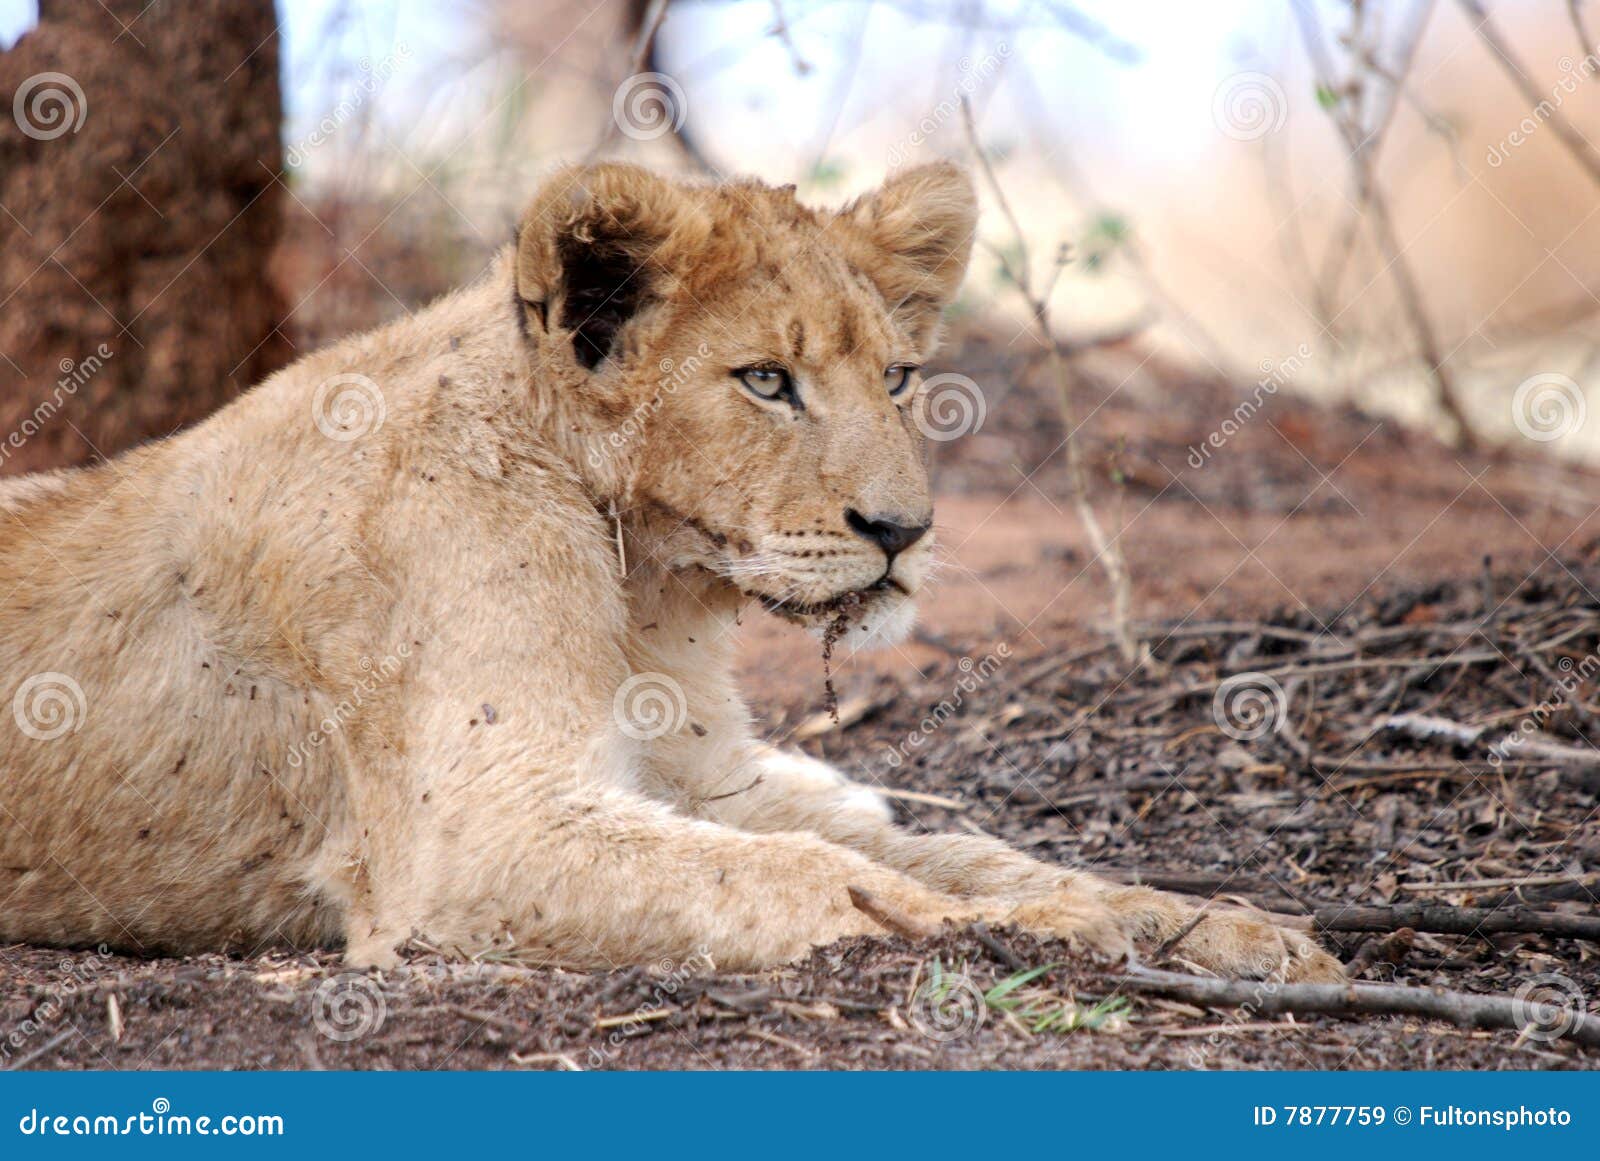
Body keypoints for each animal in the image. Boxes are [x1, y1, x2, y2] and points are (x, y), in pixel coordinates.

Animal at [0, 162, 1342, 983]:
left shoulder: (695, 773)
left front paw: (1200, 921)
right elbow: (824, 881)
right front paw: (1044, 932)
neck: (643, 575)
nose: (903, 531)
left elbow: (950, 853)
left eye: (897, 379)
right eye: (765, 381)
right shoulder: (472, 842)